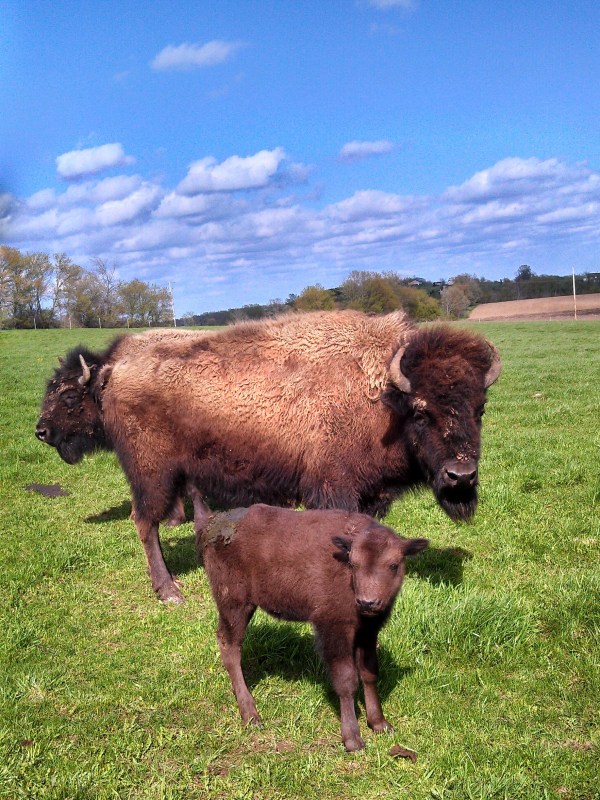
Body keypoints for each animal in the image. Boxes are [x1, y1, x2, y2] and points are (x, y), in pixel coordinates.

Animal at [36, 310, 501, 603]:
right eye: (421, 410)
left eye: (480, 408)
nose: (461, 475)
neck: (382, 393)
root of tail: (116, 368)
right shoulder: (333, 489)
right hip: (152, 473)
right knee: (144, 522)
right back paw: (169, 592)